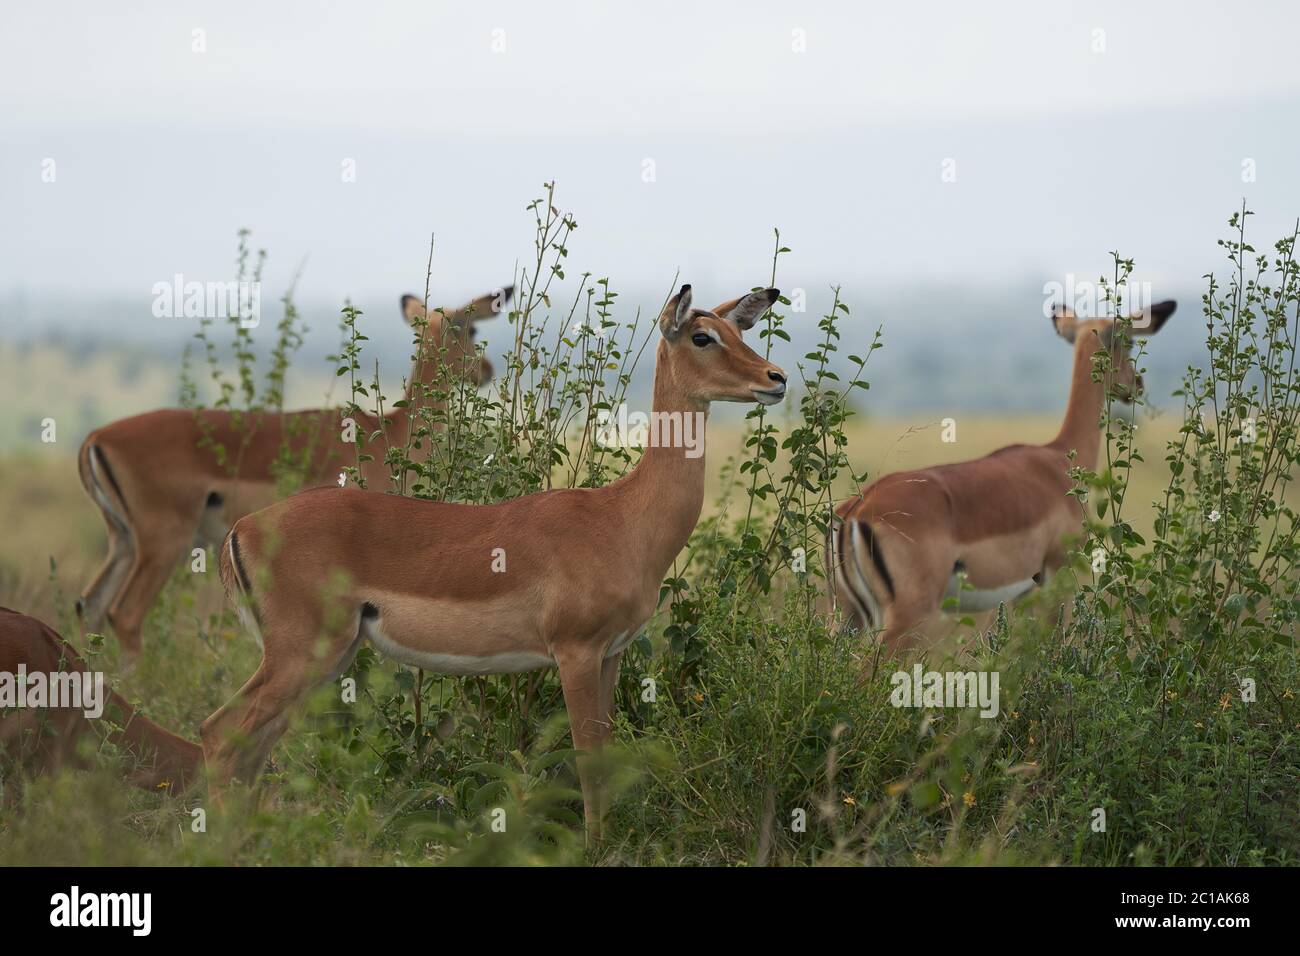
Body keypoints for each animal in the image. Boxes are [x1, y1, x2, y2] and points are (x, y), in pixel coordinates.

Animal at [75, 287, 510, 658]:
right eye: (472, 328)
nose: (486, 370)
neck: (388, 431)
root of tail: (96, 437)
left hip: (124, 542)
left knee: (89, 606)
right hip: (164, 543)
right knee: (124, 615)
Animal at [203, 284, 787, 836]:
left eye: (737, 331)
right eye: (702, 336)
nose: (776, 377)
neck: (622, 518)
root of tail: (242, 528)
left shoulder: (612, 654)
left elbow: (605, 755)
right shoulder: (575, 651)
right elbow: (587, 763)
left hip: (327, 656)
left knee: (252, 745)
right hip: (302, 653)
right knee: (220, 732)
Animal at [830, 299, 1176, 656]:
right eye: (1128, 342)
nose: (1137, 385)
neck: (1058, 460)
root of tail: (857, 510)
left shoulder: (1022, 591)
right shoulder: (1056, 574)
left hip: (848, 616)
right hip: (906, 618)